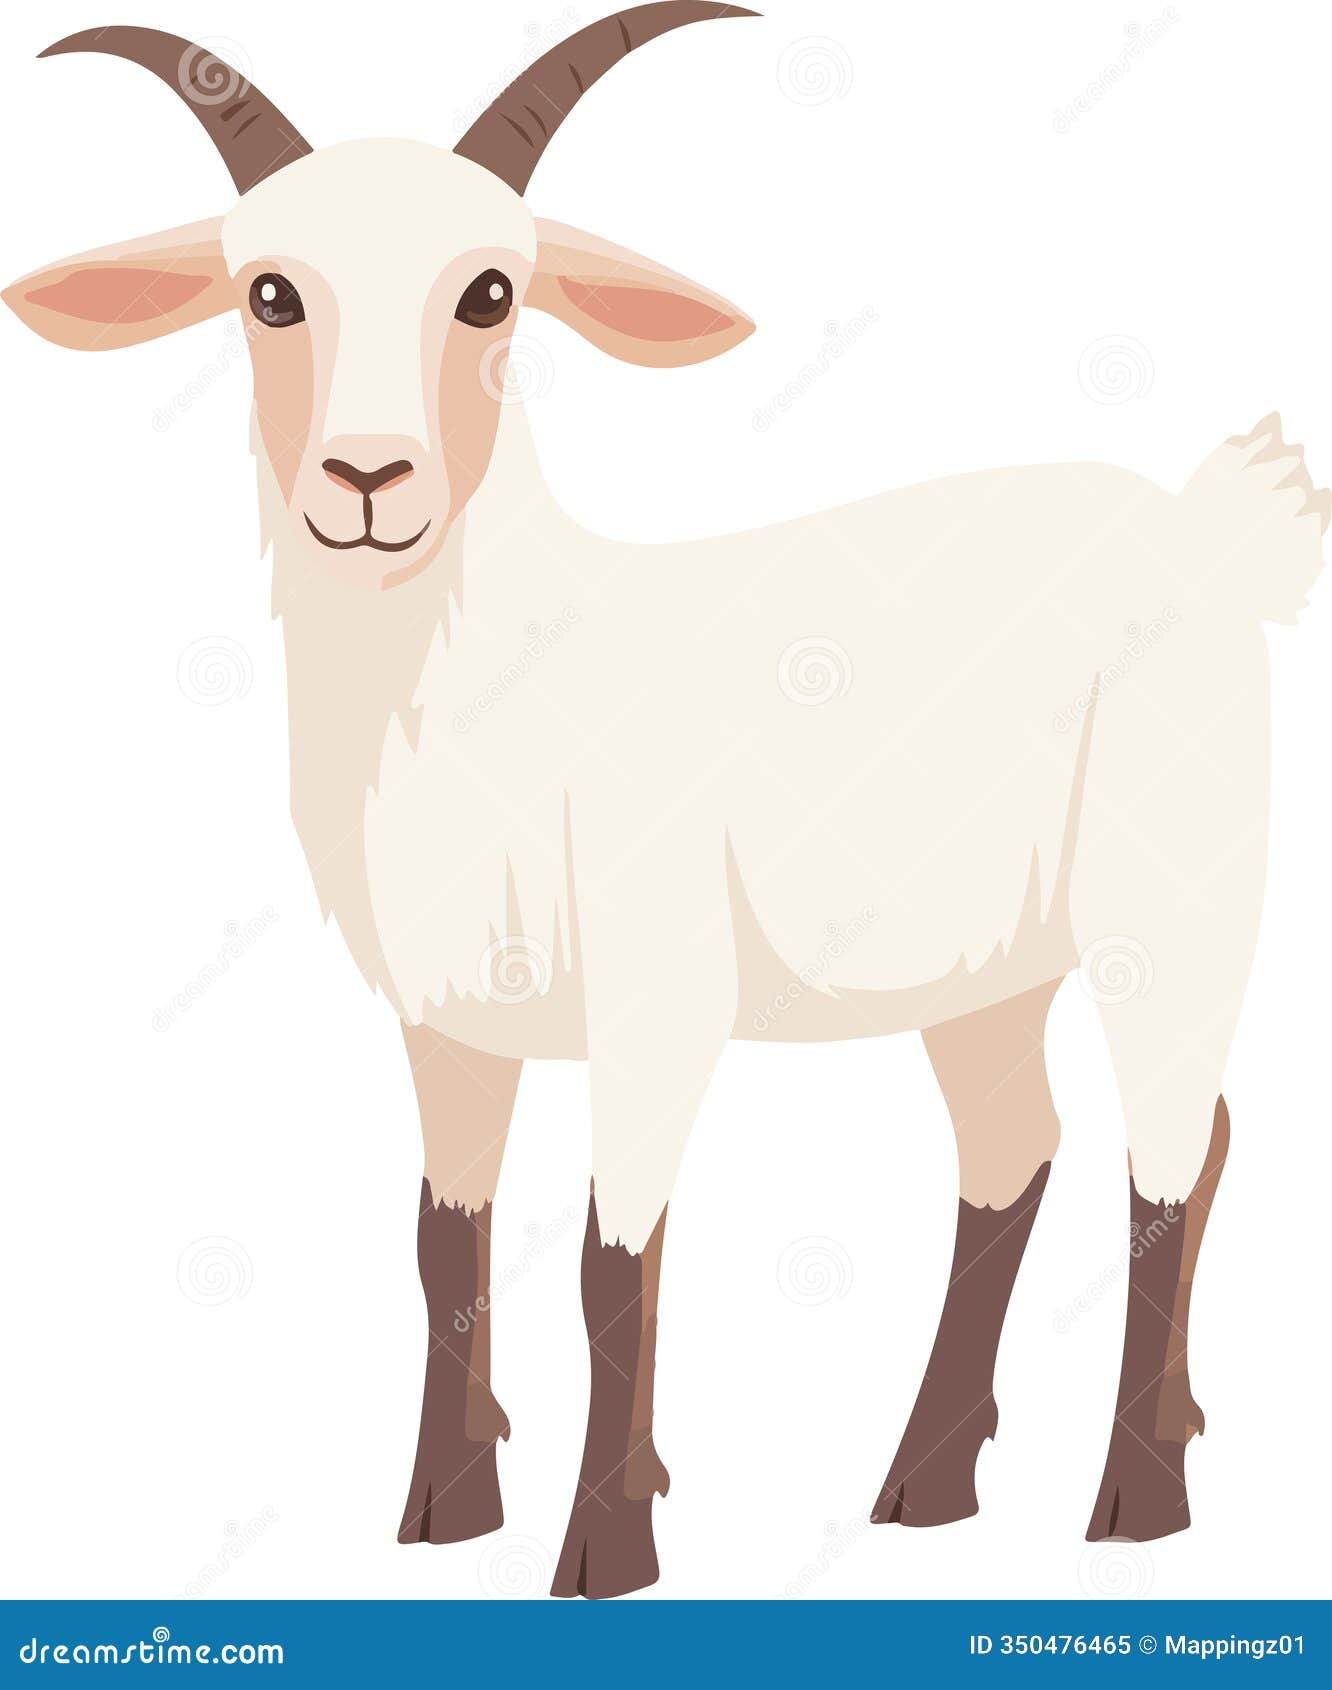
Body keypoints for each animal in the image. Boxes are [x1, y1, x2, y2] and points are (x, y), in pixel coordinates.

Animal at [6, 6, 1326, 1598]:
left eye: (492, 291)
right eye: (268, 291)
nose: (370, 479)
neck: (489, 689)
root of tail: (1208, 528)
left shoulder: (658, 1001)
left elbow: (610, 1260)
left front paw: (607, 1545)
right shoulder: (448, 1023)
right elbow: (443, 1246)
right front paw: (446, 1509)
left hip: (1168, 904)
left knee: (1177, 1146)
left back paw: (1140, 1499)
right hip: (983, 971)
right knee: (1022, 1150)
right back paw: (928, 1485)